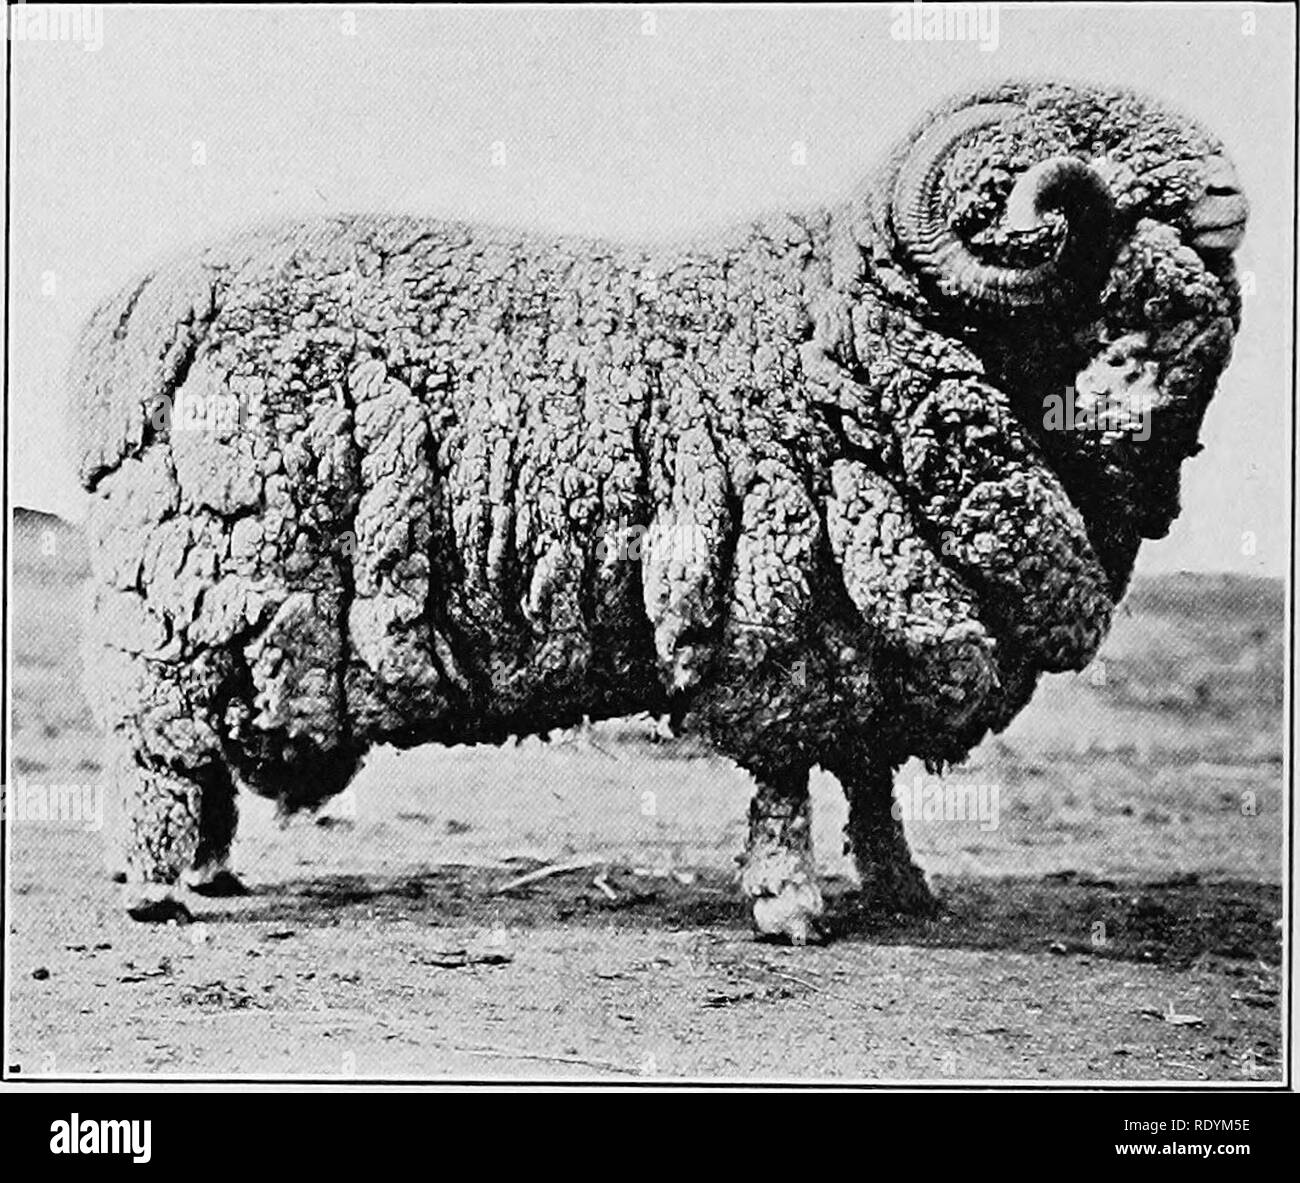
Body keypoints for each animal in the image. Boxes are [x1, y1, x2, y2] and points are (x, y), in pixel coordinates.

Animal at [73, 80, 1248, 941]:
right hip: (198, 577)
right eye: (1095, 254)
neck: (844, 333)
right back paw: (156, 888)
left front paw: (904, 890)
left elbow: (870, 777)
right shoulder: (779, 622)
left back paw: (212, 872)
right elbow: (786, 771)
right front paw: (789, 906)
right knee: (160, 742)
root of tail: (141, 315)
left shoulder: (865, 638)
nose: (1155, 397)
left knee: (200, 749)